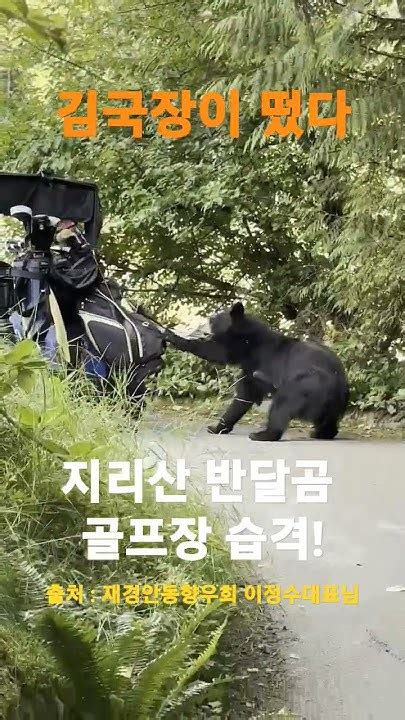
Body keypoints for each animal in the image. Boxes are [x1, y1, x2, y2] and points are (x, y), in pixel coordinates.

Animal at [164, 301, 349, 441]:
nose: (197, 327)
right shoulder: (249, 367)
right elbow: (243, 397)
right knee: (328, 420)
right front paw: (216, 427)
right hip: (331, 402)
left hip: (306, 385)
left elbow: (215, 352)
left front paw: (173, 336)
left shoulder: (255, 355)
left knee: (282, 404)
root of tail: (339, 385)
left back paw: (263, 434)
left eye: (212, 319)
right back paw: (321, 433)